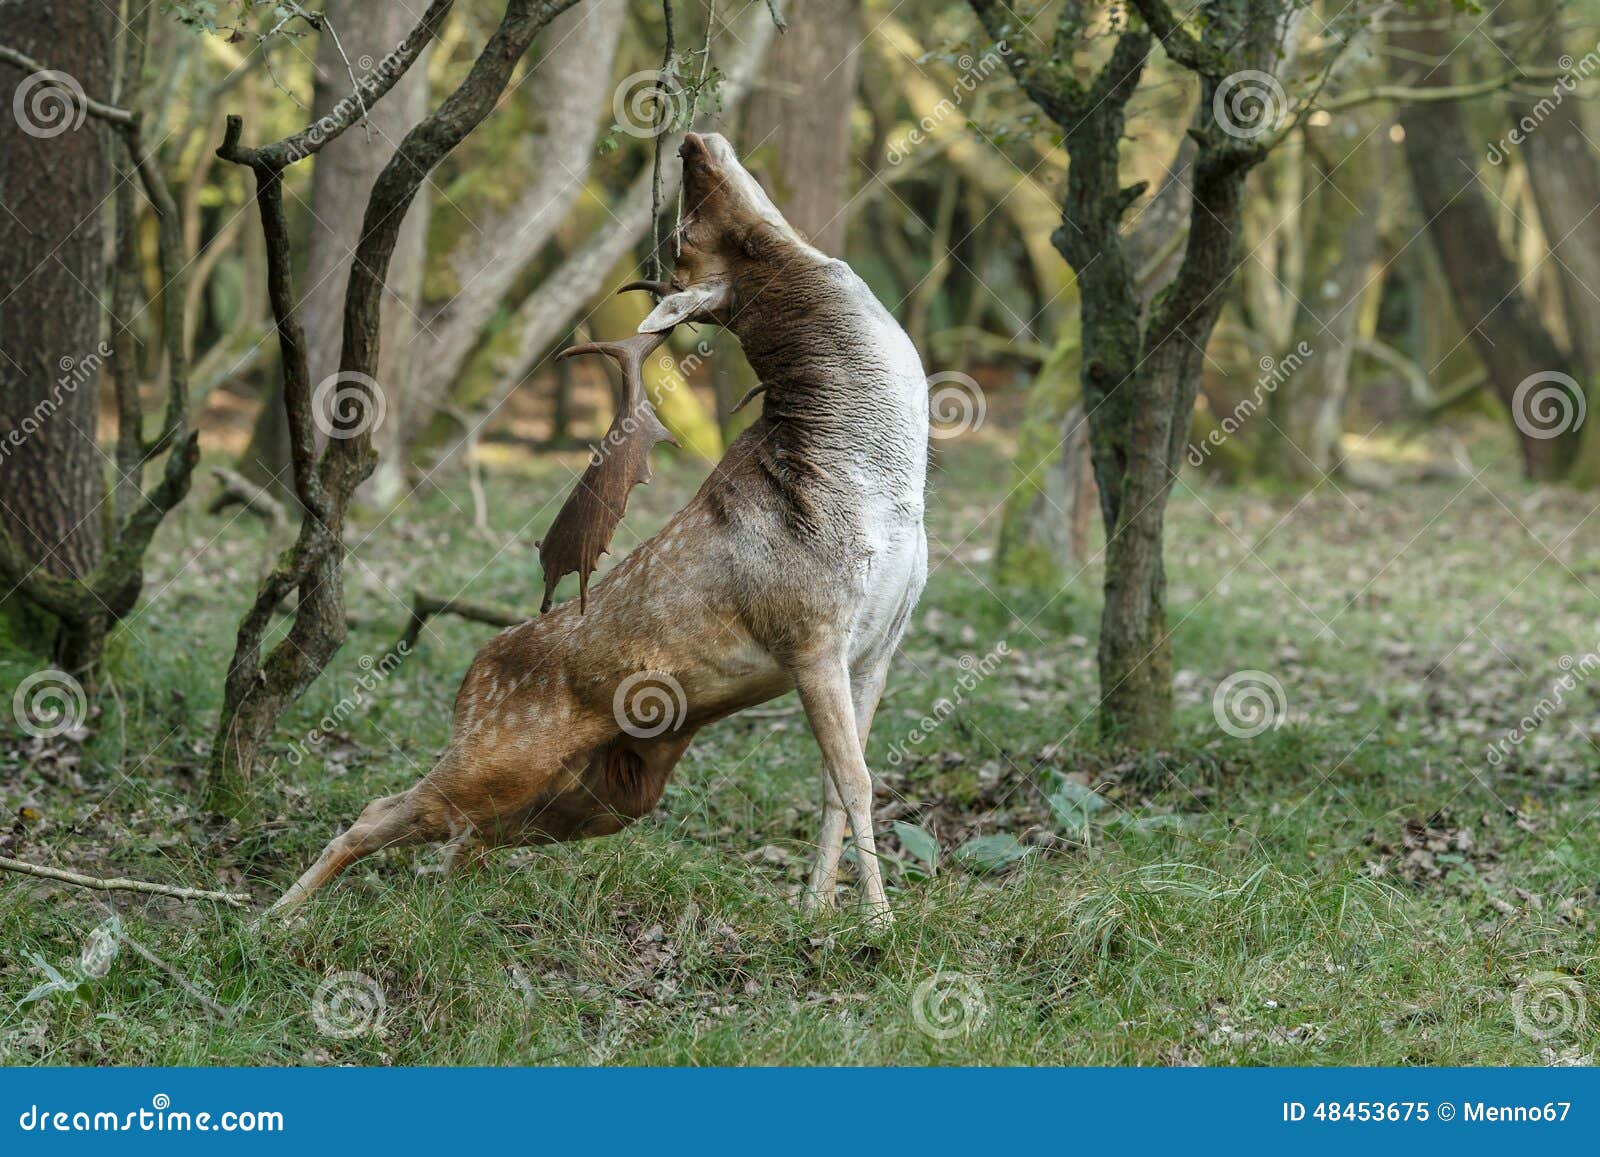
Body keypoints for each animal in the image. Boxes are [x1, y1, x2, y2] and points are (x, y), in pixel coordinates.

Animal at [269, 132, 929, 925]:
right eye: (687, 235)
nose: (693, 142)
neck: (888, 490)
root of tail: (469, 680)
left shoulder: (881, 640)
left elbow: (840, 782)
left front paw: (816, 911)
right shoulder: (810, 627)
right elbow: (858, 782)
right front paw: (880, 924)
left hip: (599, 795)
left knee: (465, 836)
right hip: (502, 753)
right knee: (387, 809)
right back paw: (270, 918)